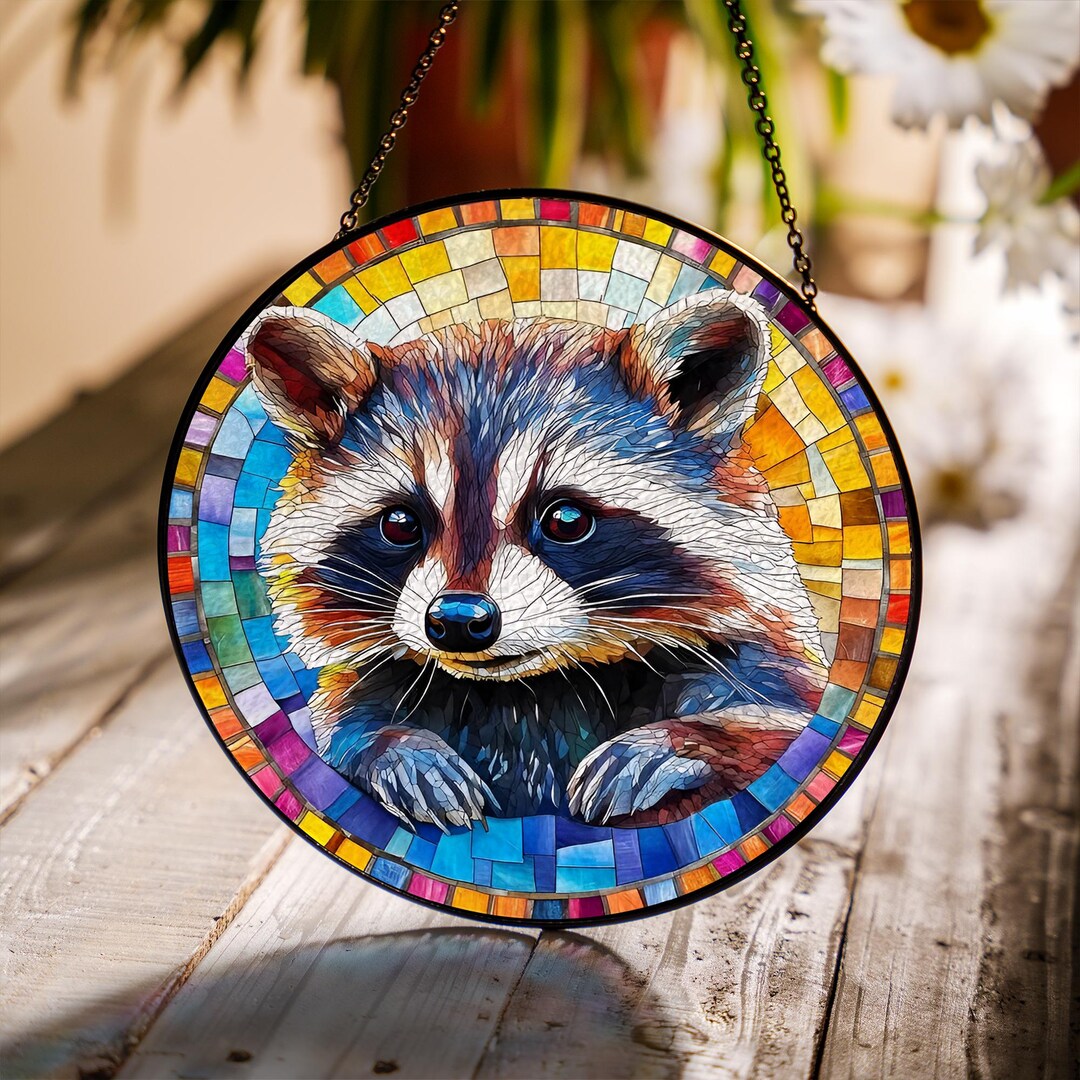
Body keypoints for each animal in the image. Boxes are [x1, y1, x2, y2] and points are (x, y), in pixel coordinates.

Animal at [243, 288, 826, 832]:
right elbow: (345, 728)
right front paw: (397, 747)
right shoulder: (375, 680)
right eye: (400, 524)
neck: (529, 687)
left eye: (565, 519)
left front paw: (678, 741)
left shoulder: (751, 657)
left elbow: (781, 716)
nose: (458, 620)